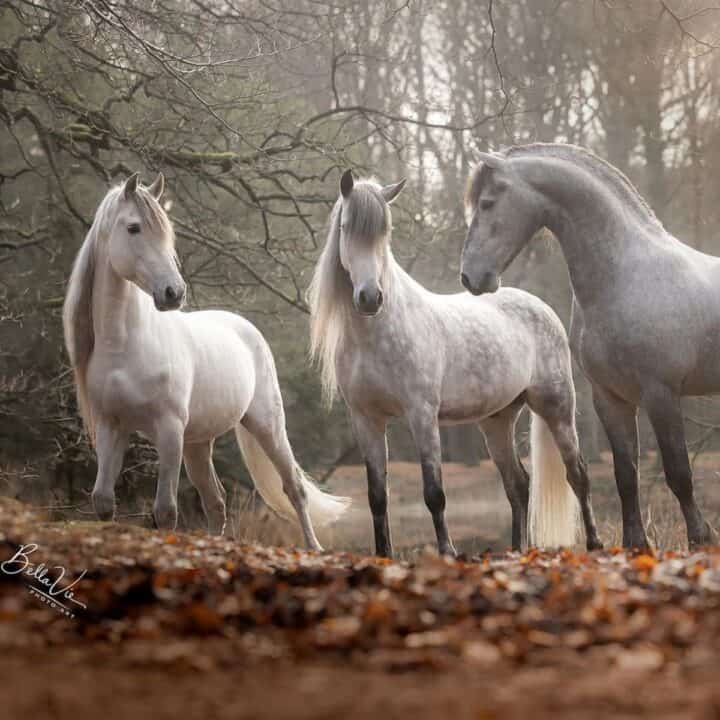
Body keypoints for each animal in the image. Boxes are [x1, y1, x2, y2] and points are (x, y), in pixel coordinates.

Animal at [63, 172, 349, 549]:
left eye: (166, 232)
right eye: (133, 228)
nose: (174, 293)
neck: (125, 345)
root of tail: (246, 329)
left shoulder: (169, 431)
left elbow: (166, 511)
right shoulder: (112, 426)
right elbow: (103, 501)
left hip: (267, 426)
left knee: (294, 488)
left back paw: (313, 546)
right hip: (197, 443)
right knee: (215, 501)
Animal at [308, 169, 602, 557]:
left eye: (384, 232)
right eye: (345, 227)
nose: (370, 297)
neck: (376, 335)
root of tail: (541, 307)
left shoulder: (422, 415)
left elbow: (434, 493)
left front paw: (448, 553)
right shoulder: (366, 419)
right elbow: (377, 496)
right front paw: (384, 555)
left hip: (556, 407)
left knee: (577, 474)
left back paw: (595, 543)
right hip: (497, 420)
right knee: (518, 485)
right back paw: (516, 550)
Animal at [461, 142, 719, 549]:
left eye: (487, 203)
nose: (470, 276)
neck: (624, 274)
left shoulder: (661, 395)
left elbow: (679, 472)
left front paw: (699, 539)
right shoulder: (610, 398)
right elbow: (625, 474)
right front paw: (635, 544)